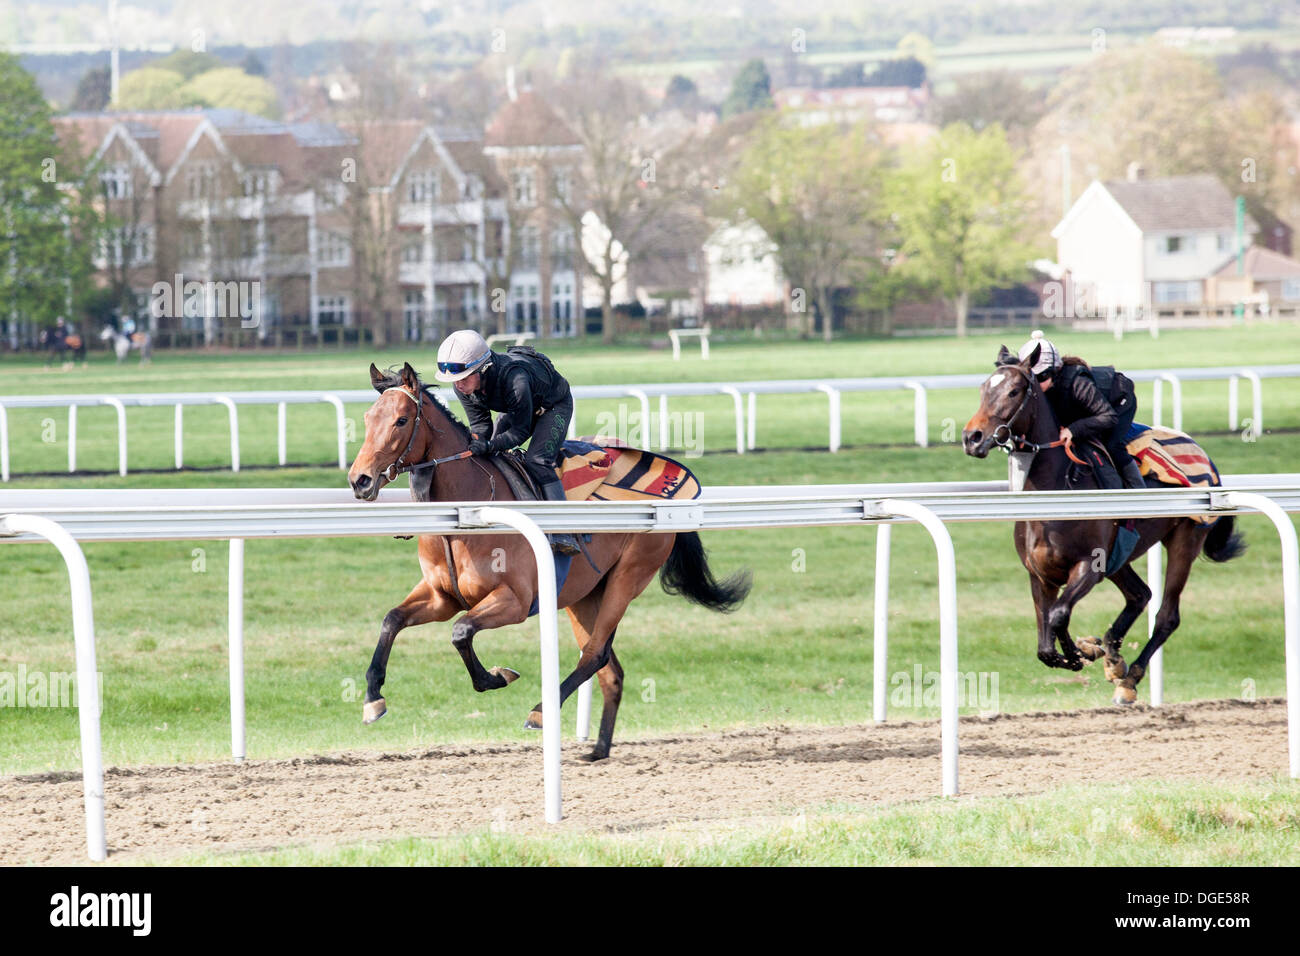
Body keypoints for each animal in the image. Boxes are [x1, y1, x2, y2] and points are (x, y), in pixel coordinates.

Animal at [347, 361, 752, 760]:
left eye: (401, 420)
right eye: (367, 418)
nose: (359, 480)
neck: (464, 515)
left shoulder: (515, 600)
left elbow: (461, 631)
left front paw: (498, 676)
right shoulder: (440, 597)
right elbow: (392, 620)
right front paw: (373, 699)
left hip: (627, 578)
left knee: (594, 655)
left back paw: (542, 712)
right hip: (584, 595)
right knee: (609, 668)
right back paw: (598, 749)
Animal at [961, 344, 1245, 704]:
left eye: (1013, 391)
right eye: (983, 389)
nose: (972, 437)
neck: (1056, 491)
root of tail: (1205, 455)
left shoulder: (1090, 565)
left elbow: (1058, 615)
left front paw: (1082, 651)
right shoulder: (1040, 574)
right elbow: (1045, 641)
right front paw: (1085, 650)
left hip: (1185, 539)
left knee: (1167, 615)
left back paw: (1130, 677)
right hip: (1120, 555)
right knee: (1140, 595)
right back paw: (1113, 655)